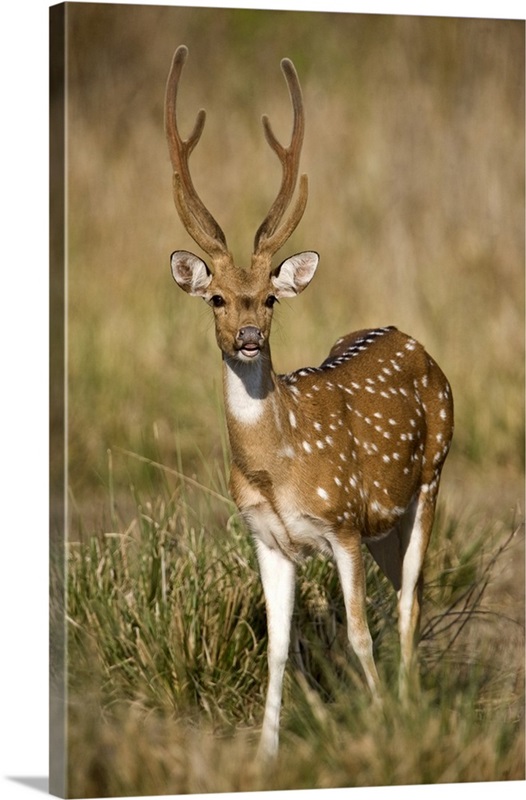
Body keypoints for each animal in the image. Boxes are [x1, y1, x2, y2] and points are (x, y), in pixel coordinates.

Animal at [165, 45, 454, 760]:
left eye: (270, 297)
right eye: (216, 298)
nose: (247, 337)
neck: (280, 464)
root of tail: (407, 336)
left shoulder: (343, 522)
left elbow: (356, 633)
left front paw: (380, 727)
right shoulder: (267, 538)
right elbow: (278, 647)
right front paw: (266, 753)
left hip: (430, 477)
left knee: (408, 600)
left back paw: (408, 705)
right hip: (387, 523)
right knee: (408, 593)